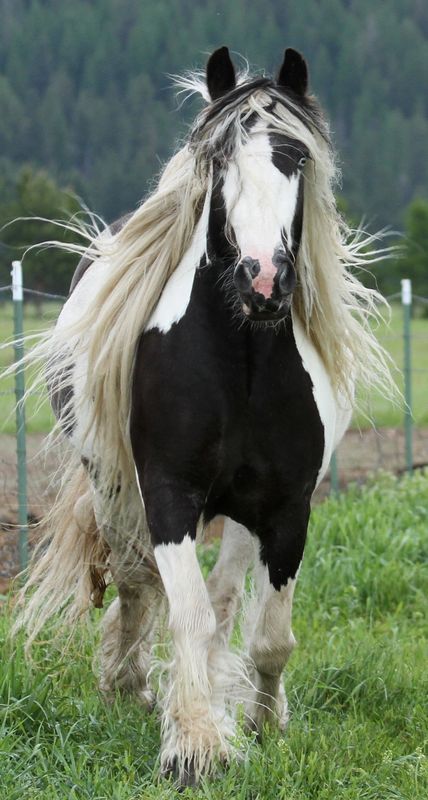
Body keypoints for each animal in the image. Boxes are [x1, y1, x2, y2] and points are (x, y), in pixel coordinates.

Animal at [16, 47, 392, 787]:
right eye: (220, 162)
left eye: (294, 157)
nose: (264, 280)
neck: (241, 362)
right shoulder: (167, 494)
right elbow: (182, 612)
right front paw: (191, 744)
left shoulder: (287, 506)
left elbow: (268, 635)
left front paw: (260, 723)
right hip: (113, 487)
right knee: (136, 582)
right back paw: (128, 682)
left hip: (242, 514)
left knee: (222, 597)